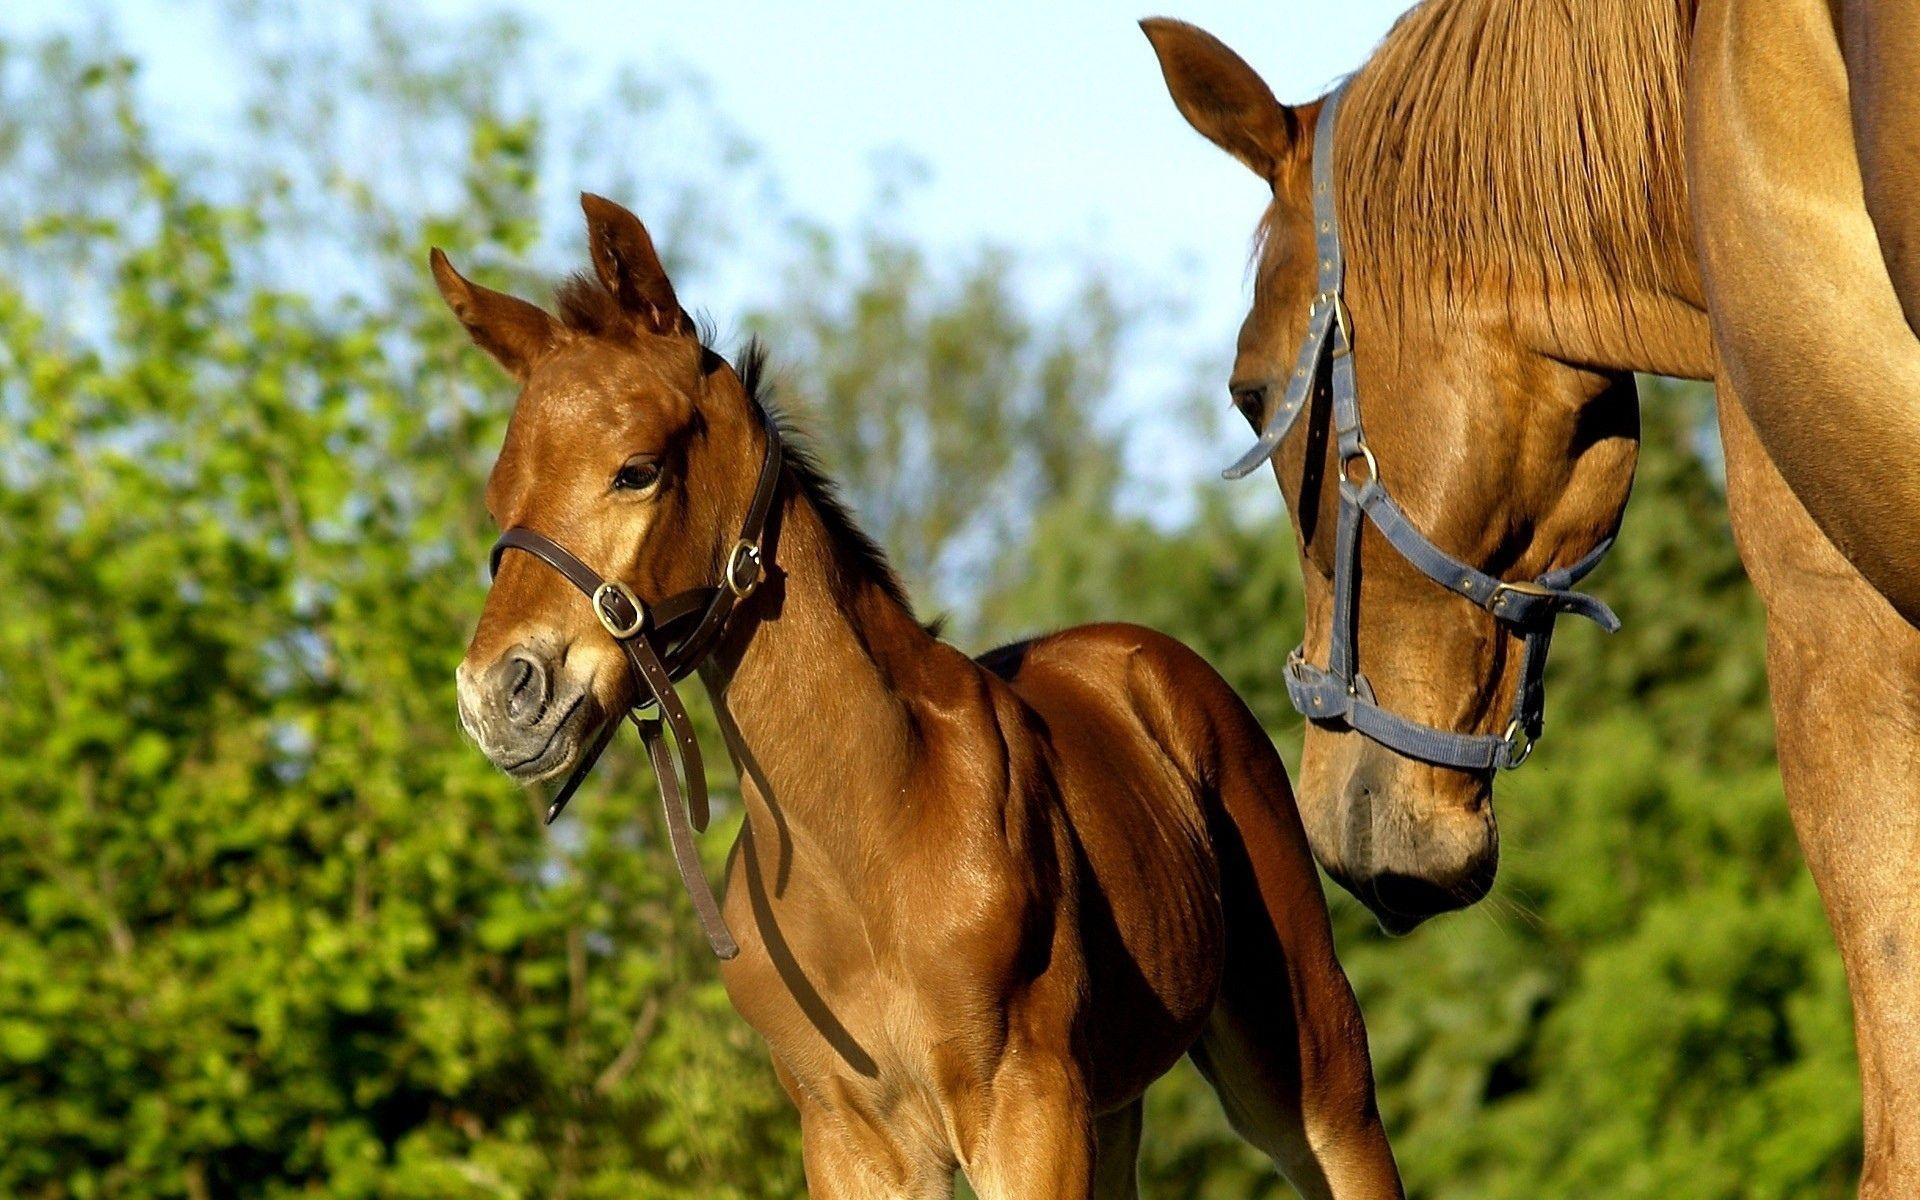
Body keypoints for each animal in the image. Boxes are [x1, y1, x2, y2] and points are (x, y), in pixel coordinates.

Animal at [435, 193, 1404, 1199]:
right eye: (499, 497)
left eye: (637, 469)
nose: (499, 695)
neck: (865, 838)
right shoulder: (848, 1137)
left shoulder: (1027, 1110)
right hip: (1114, 1109)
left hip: (1308, 1069)